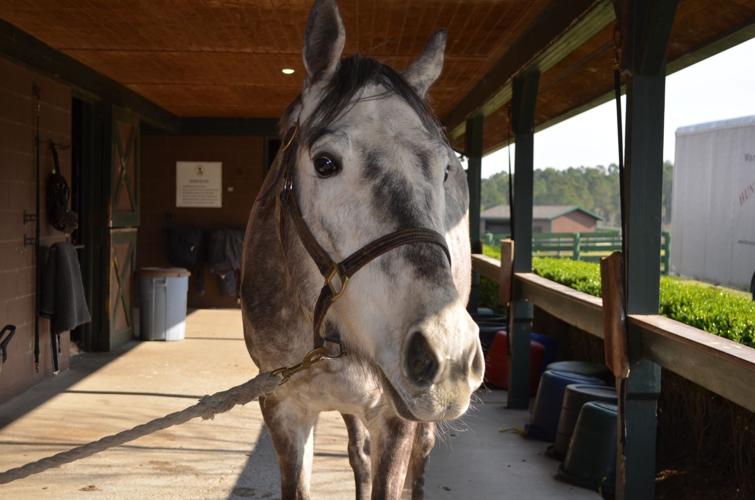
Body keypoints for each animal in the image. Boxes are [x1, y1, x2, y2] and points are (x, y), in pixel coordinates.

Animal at [241, 1, 484, 498]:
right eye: (325, 163)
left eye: (446, 169)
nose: (448, 353)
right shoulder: (282, 408)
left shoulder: (394, 416)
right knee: (358, 453)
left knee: (421, 454)